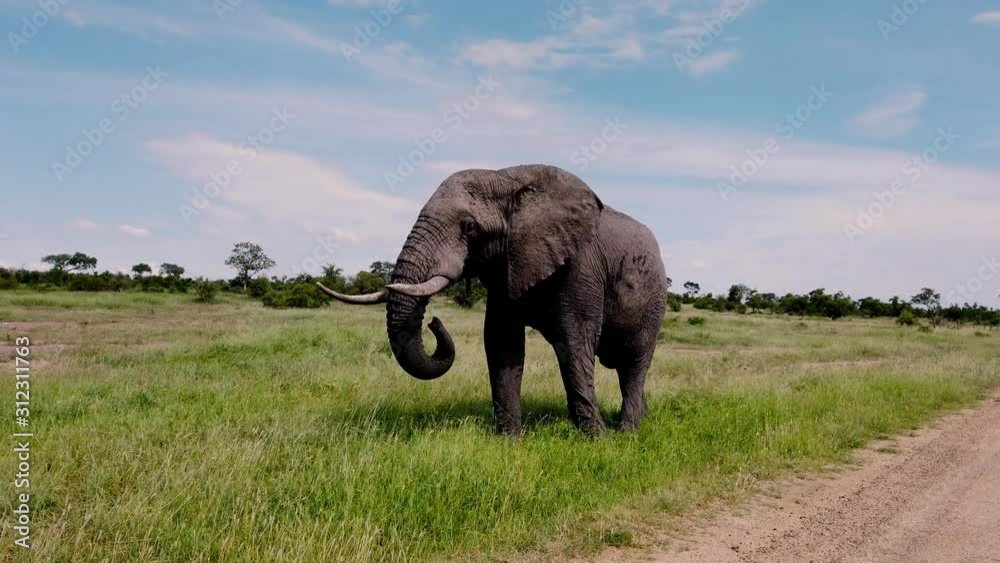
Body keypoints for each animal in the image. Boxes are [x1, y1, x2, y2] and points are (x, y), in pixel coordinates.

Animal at [319, 164, 667, 436]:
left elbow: (574, 342)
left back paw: (627, 432)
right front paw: (510, 440)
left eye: (469, 227)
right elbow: (502, 341)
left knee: (634, 362)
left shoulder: (582, 266)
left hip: (654, 302)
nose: (434, 321)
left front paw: (596, 439)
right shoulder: (505, 265)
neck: (507, 179)